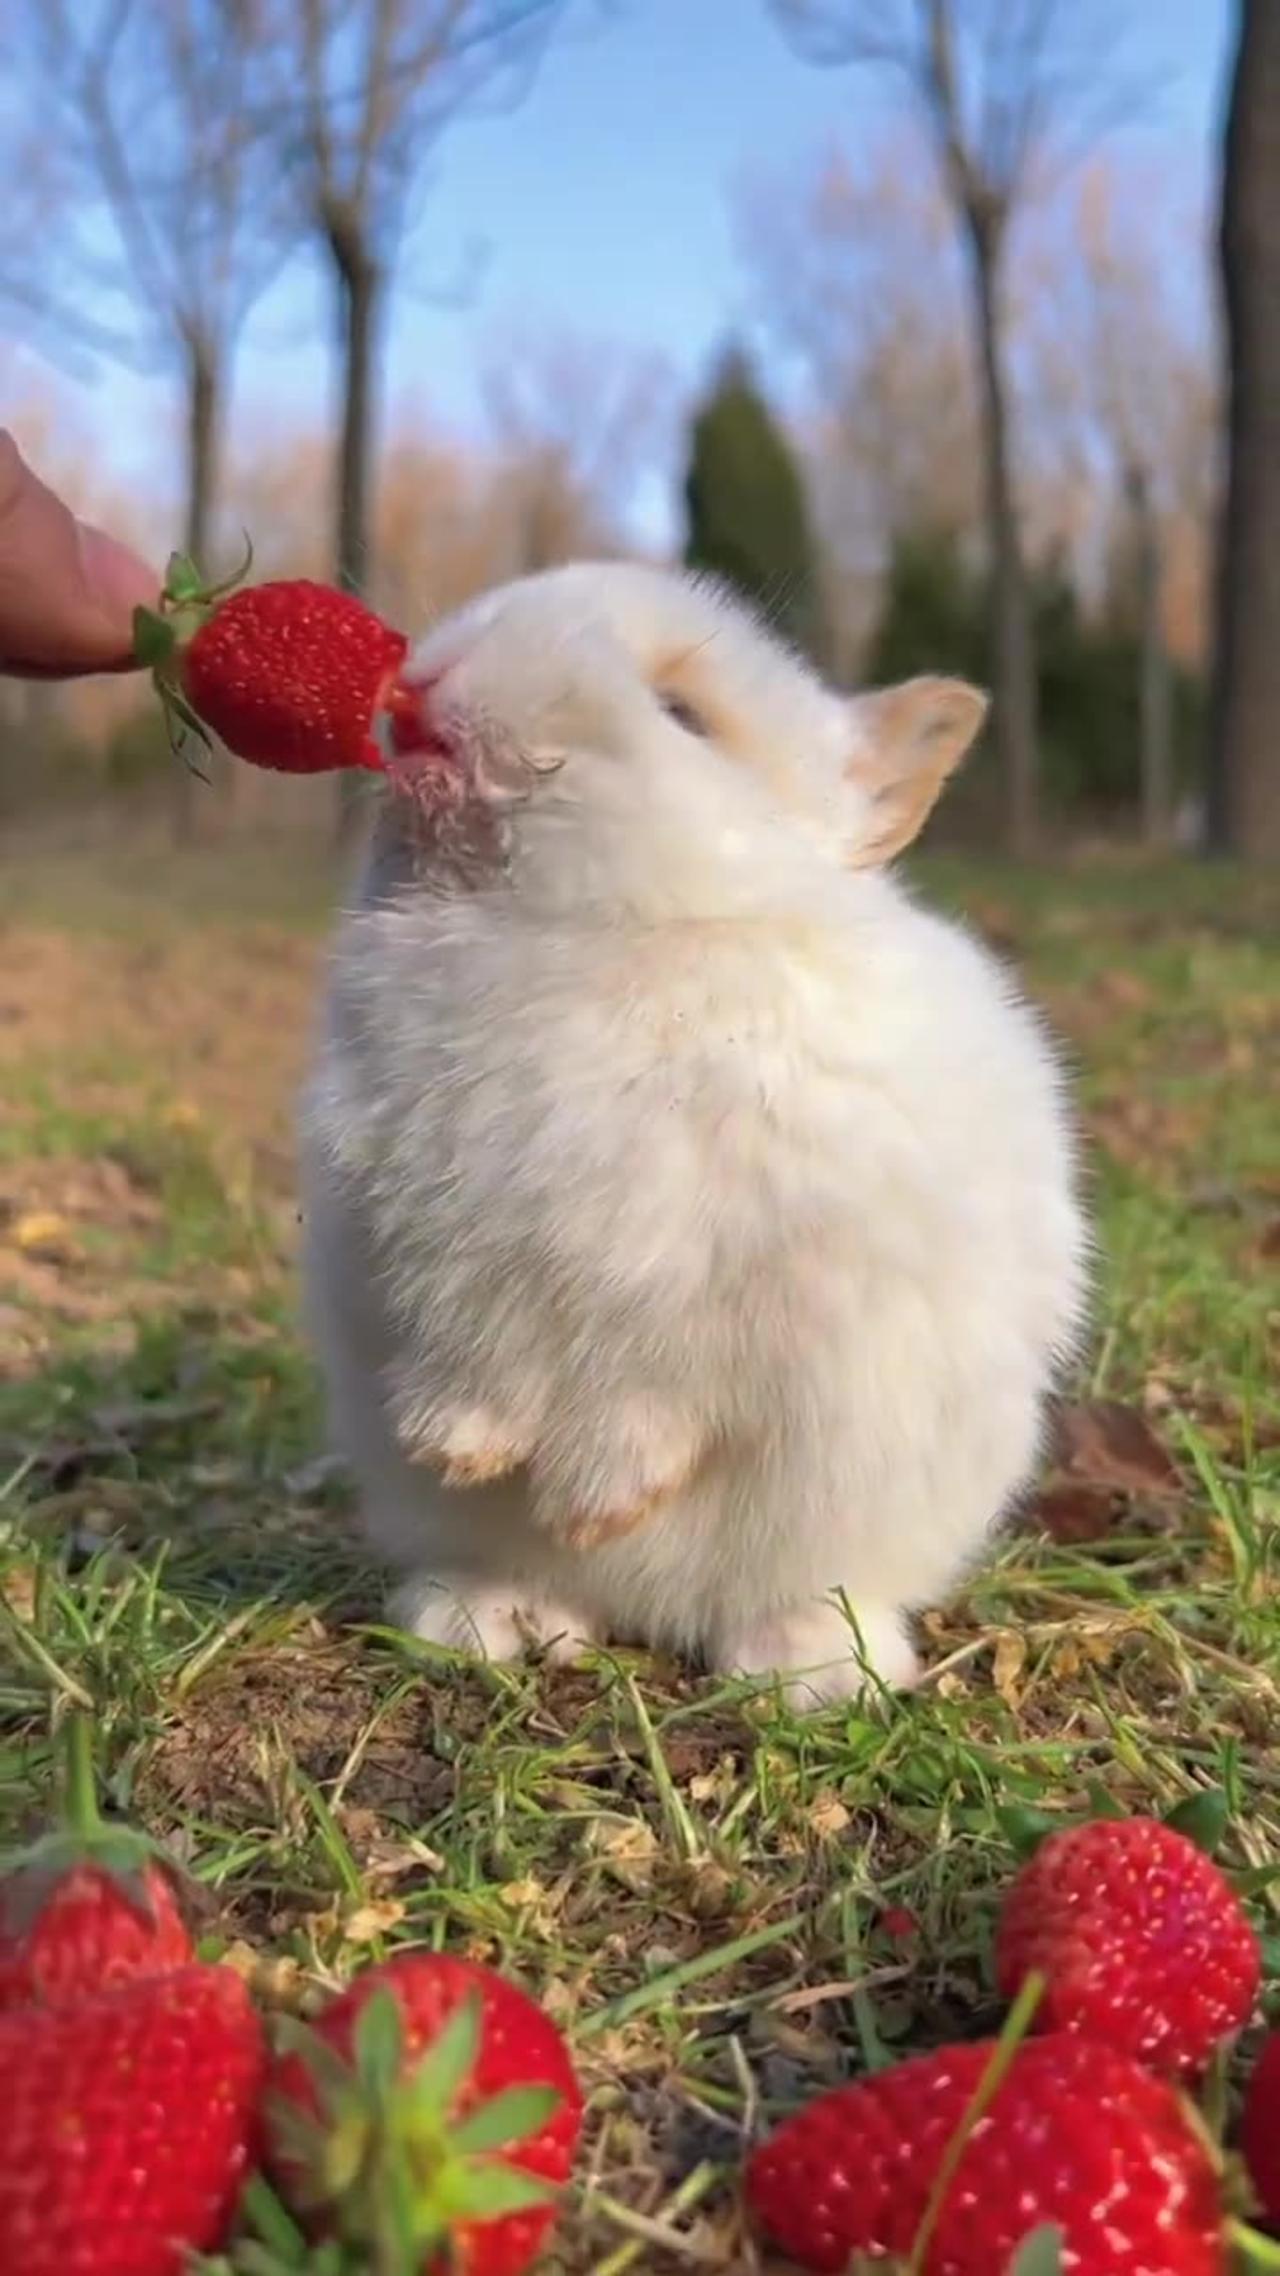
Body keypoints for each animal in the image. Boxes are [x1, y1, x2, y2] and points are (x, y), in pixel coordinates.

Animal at [298, 559, 1087, 1706]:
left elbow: (656, 1391)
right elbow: (470, 1362)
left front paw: (596, 1501)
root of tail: (652, 1615)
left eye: (683, 716)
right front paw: (456, 1447)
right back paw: (487, 1619)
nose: (429, 676)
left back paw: (805, 1671)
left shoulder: (721, 1274)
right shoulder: (420, 1251)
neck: (594, 938)